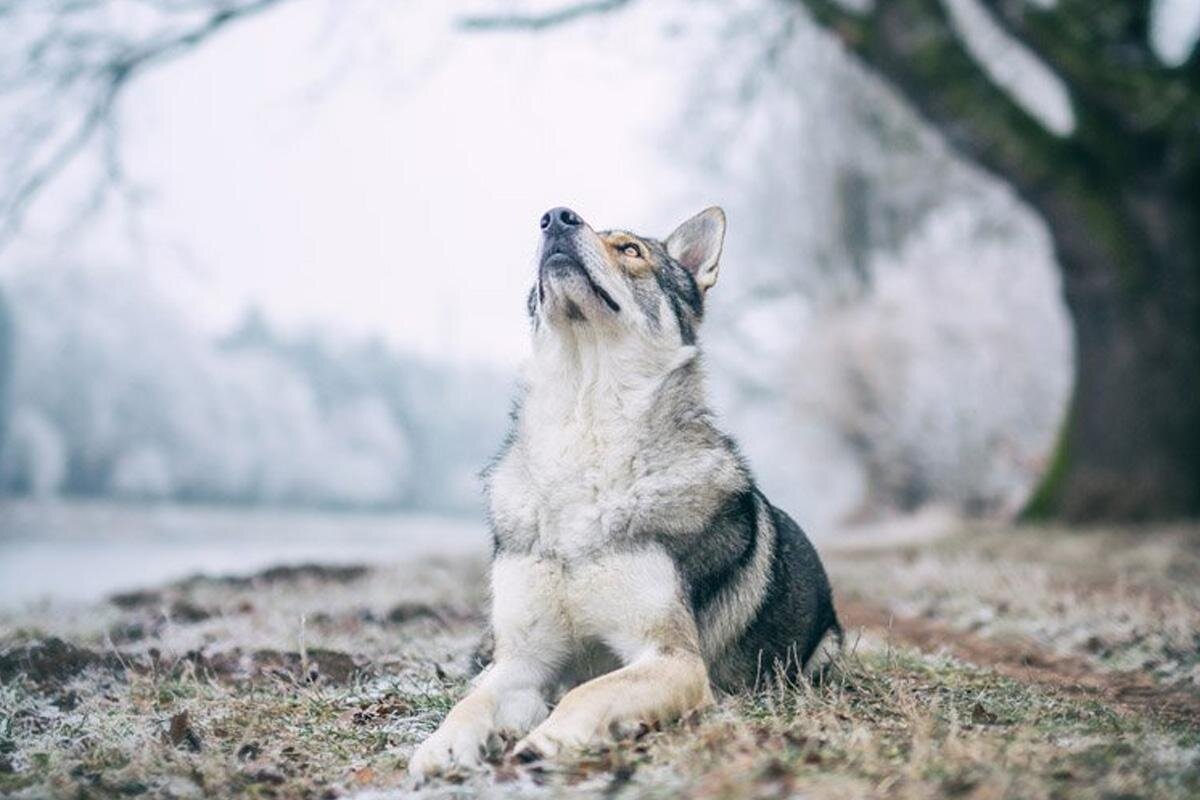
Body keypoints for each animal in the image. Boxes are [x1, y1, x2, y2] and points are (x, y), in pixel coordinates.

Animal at [408, 203, 840, 777]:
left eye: (630, 250)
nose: (555, 217)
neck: (586, 427)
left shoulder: (673, 660)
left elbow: (587, 692)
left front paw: (549, 740)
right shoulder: (524, 662)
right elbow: (472, 701)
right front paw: (443, 745)